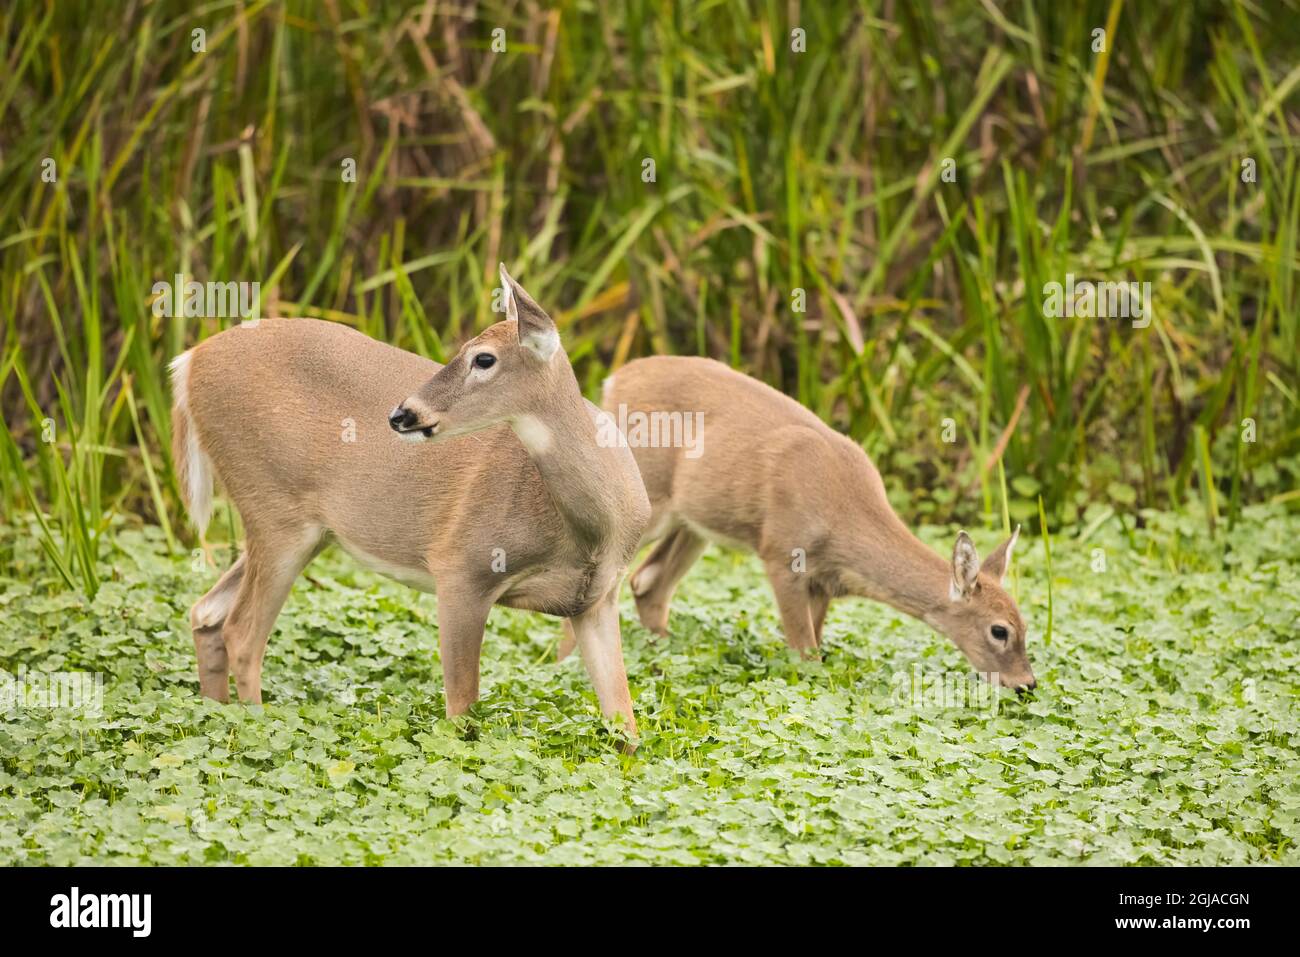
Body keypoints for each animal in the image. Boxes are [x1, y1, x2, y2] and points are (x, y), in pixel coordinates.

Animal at [169, 265, 651, 740]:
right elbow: (462, 709)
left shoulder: (596, 599)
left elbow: (625, 720)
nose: (402, 414)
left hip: (304, 528)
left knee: (207, 613)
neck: (592, 532)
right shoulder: (461, 566)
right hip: (274, 506)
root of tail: (187, 363)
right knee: (241, 633)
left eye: (484, 358)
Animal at [558, 355, 1036, 693]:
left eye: (1026, 624)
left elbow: (815, 647)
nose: (1026, 684)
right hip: (644, 498)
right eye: (1000, 630)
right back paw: (565, 665)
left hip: (693, 522)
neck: (845, 517)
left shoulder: (822, 582)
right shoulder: (782, 552)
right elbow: (805, 652)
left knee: (649, 583)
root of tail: (613, 379)